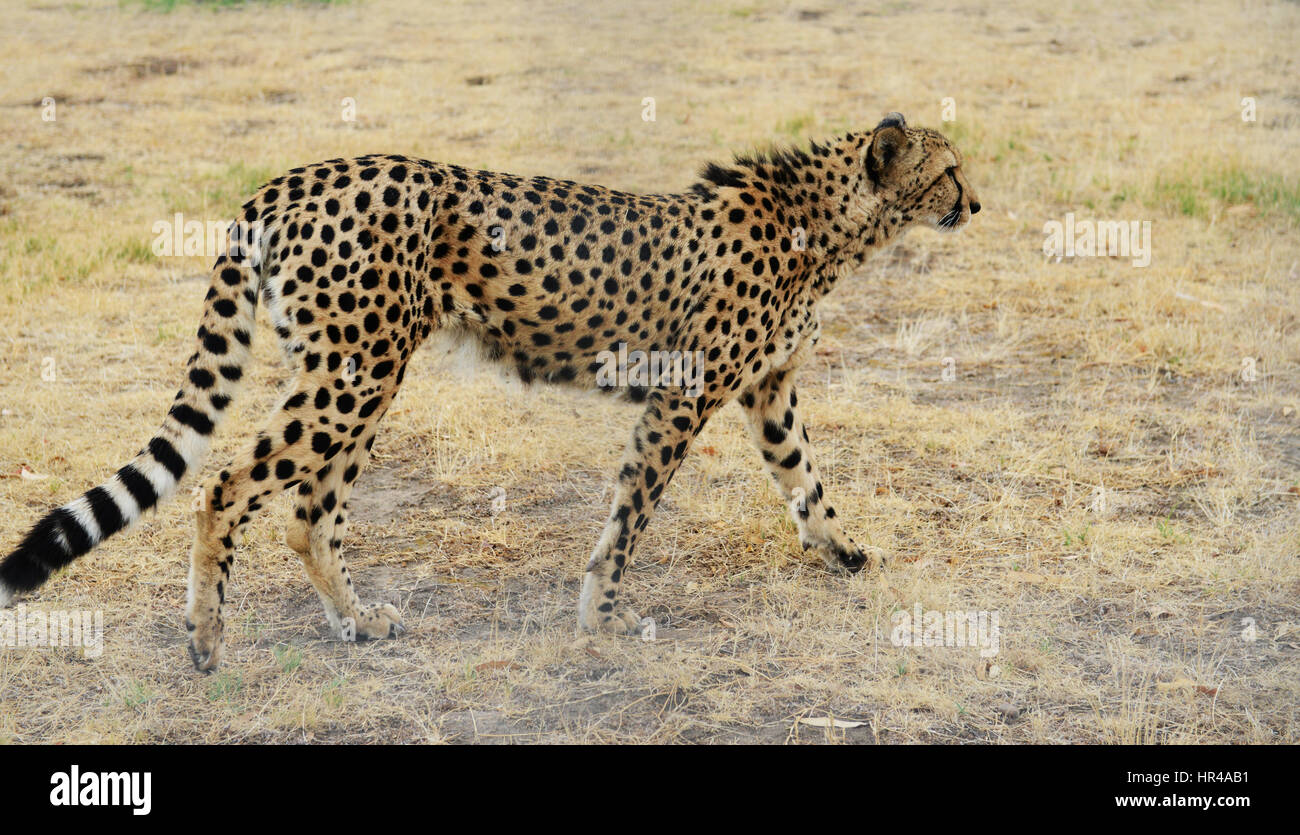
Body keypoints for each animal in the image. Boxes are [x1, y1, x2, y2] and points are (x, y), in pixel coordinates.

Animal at [0, 112, 979, 671]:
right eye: (949, 170)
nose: (974, 205)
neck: (829, 222)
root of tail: (292, 177)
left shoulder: (769, 390)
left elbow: (806, 481)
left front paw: (845, 553)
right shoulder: (682, 396)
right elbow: (630, 516)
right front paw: (600, 622)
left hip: (362, 373)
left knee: (308, 511)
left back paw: (359, 623)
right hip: (357, 372)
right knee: (226, 485)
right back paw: (206, 639)